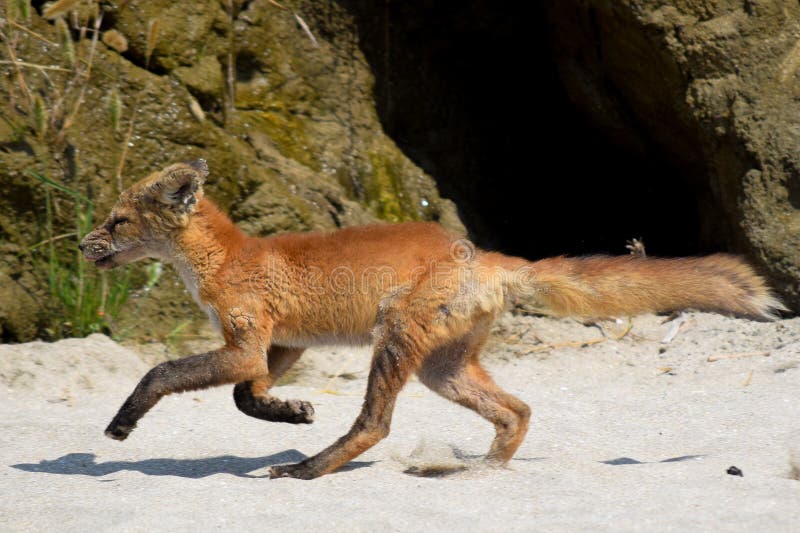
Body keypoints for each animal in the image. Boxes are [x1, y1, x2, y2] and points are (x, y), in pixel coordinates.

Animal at [79, 160, 785, 479]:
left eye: (117, 220)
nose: (81, 245)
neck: (226, 258)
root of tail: (486, 254)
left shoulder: (249, 344)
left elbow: (164, 373)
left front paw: (122, 424)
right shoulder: (281, 349)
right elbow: (244, 399)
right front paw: (292, 413)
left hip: (392, 345)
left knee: (376, 426)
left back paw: (308, 469)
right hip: (442, 371)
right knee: (517, 410)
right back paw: (482, 472)